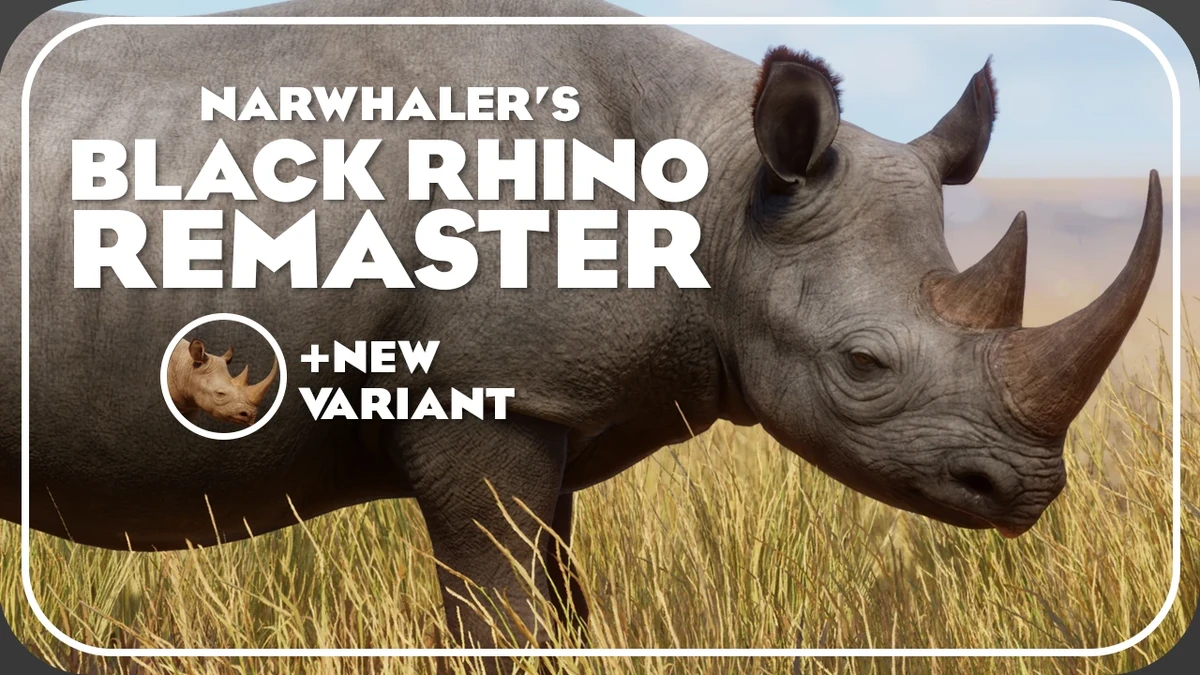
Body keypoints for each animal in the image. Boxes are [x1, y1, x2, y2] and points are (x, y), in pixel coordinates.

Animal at [0, 0, 1161, 654]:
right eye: (863, 364)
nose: (1025, 490)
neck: (724, 184)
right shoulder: (481, 396)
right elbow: (499, 613)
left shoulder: (553, 400)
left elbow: (557, 598)